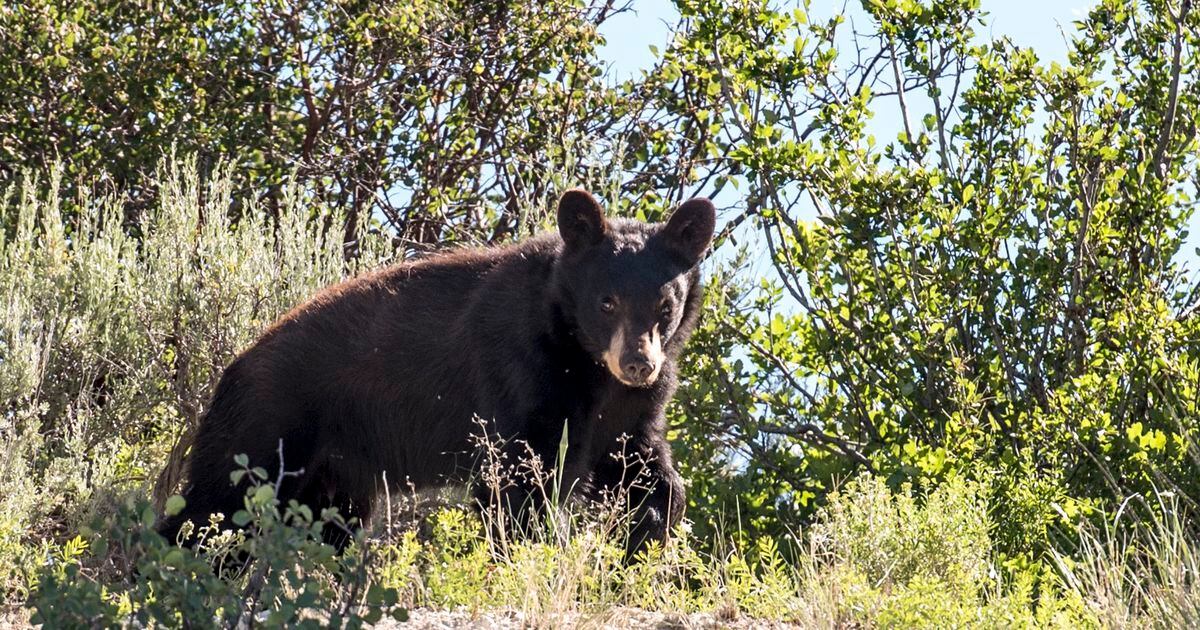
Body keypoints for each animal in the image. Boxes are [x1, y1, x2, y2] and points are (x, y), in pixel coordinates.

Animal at [157, 188, 716, 558]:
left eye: (665, 305)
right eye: (607, 301)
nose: (638, 364)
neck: (584, 360)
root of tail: (231, 369)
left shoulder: (631, 407)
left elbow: (640, 463)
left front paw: (646, 536)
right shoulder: (521, 371)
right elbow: (519, 480)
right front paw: (533, 554)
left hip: (333, 473)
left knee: (322, 524)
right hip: (267, 426)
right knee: (214, 507)